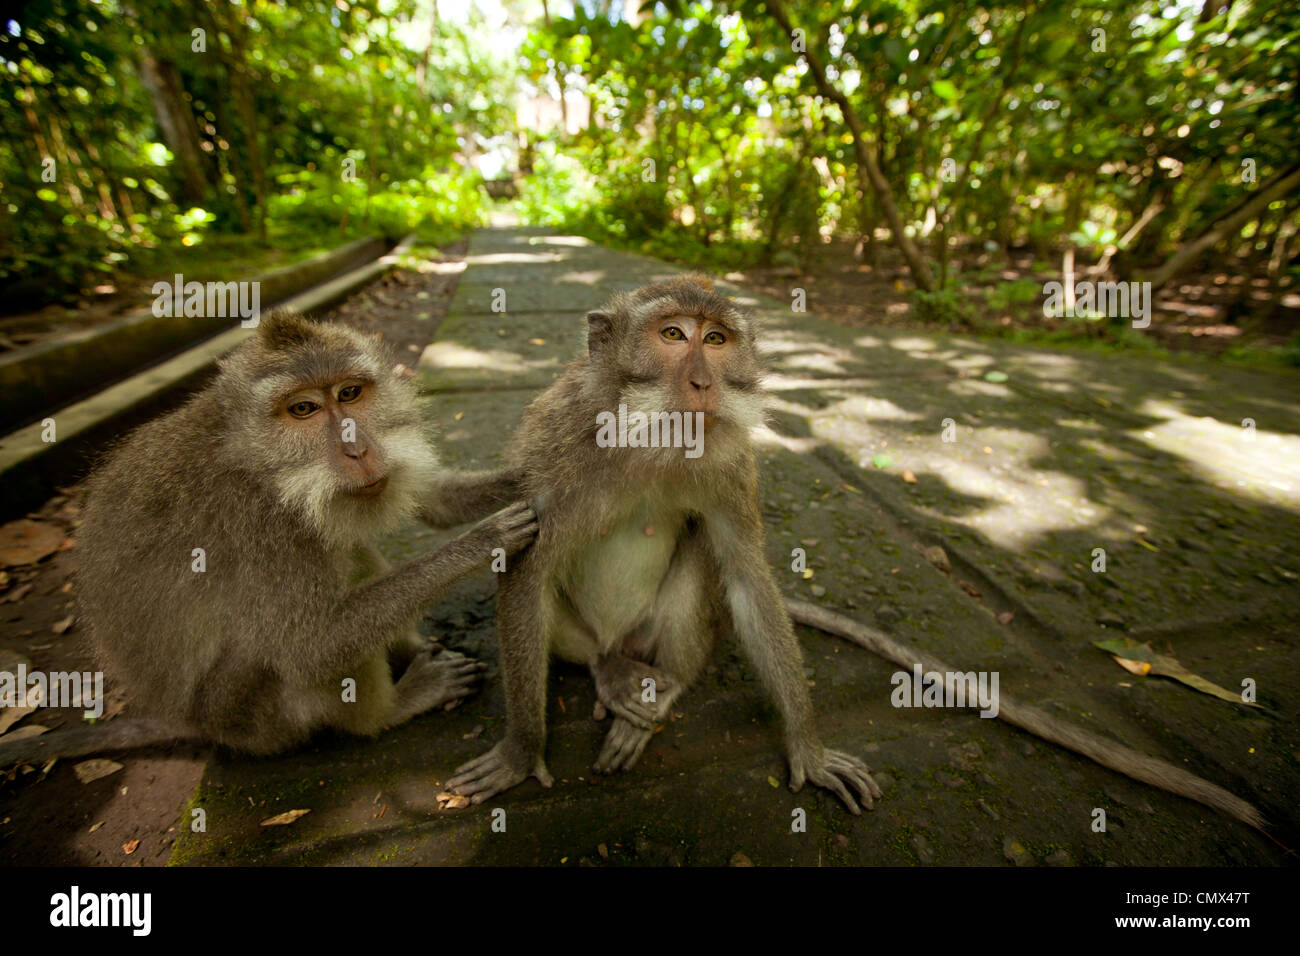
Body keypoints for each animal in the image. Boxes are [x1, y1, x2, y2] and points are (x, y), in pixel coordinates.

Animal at [0, 311, 537, 768]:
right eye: (303, 409)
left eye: (350, 393)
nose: (358, 450)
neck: (260, 463)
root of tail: (199, 726)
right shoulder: (259, 523)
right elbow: (311, 646)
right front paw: (485, 540)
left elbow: (433, 501)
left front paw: (521, 476)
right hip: (253, 716)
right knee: (288, 651)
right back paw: (393, 708)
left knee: (351, 554)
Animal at [448, 276, 883, 813]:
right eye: (673, 334)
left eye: (716, 340)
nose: (703, 383)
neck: (651, 441)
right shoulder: (552, 452)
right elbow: (526, 571)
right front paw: (522, 754)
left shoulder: (732, 465)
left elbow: (748, 580)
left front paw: (809, 748)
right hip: (583, 636)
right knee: (585, 641)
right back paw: (611, 672)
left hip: (650, 632)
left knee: (701, 553)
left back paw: (666, 688)